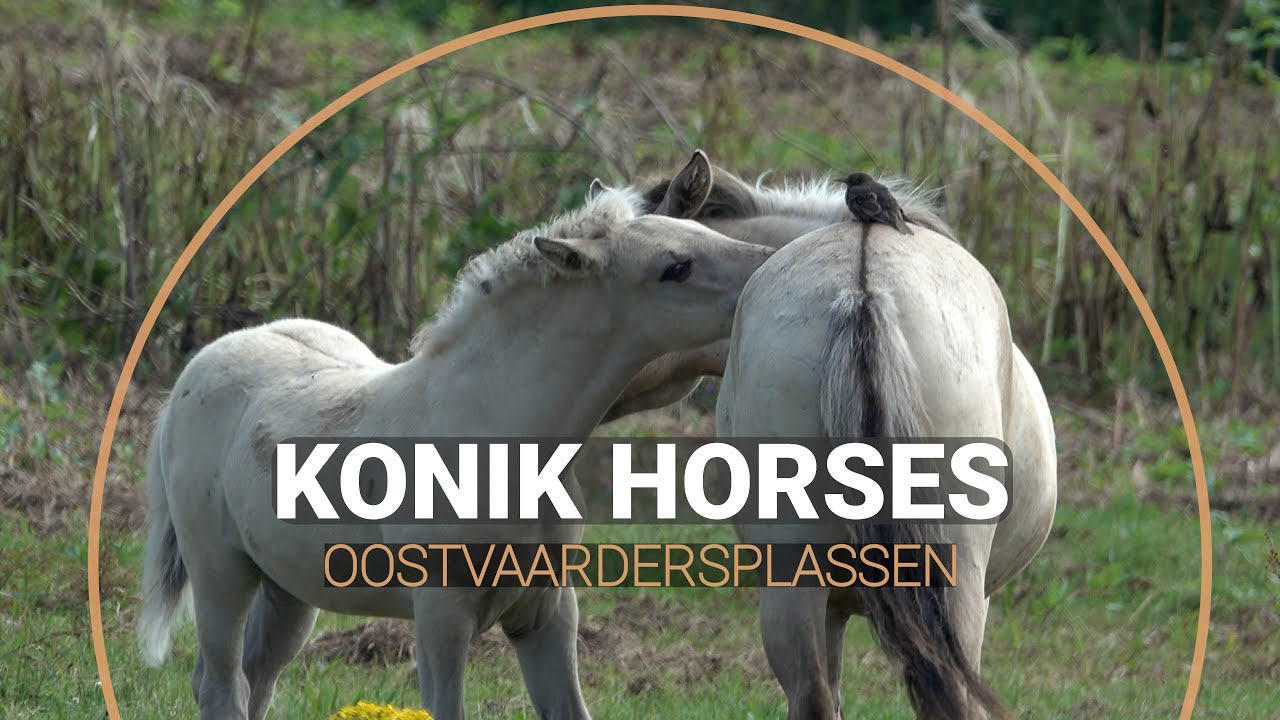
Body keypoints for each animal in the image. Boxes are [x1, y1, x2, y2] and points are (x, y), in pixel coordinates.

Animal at [136, 185, 773, 720]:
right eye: (675, 267)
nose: (767, 266)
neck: (498, 435)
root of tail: (198, 369)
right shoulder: (442, 615)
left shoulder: (547, 612)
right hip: (221, 573)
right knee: (220, 686)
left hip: (287, 588)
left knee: (255, 679)